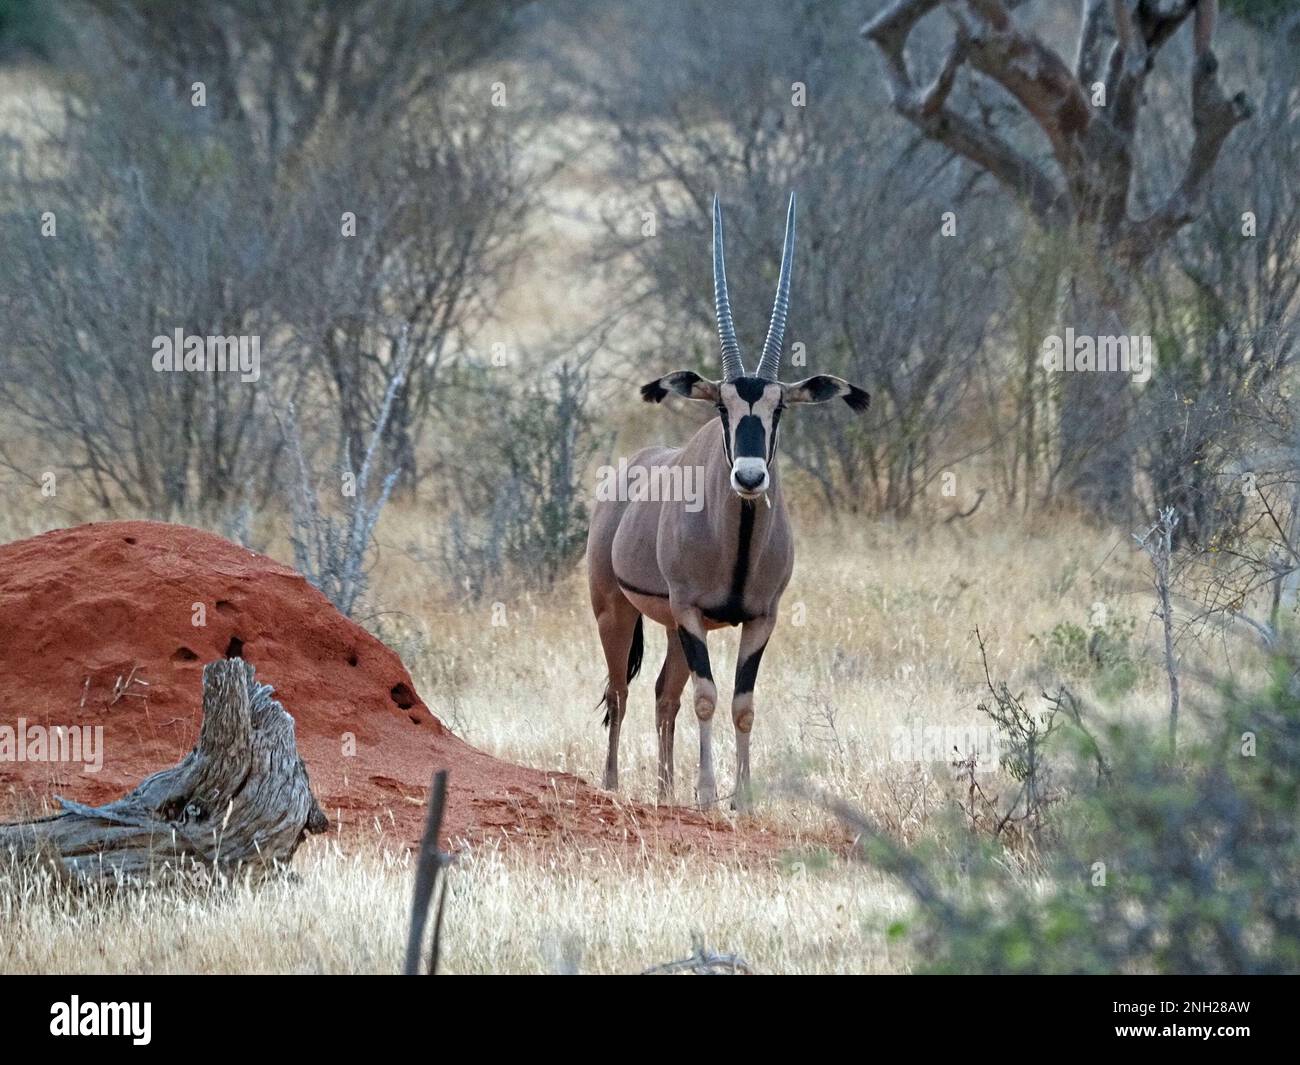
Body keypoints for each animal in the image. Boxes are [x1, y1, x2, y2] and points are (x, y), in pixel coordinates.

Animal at [587, 193, 870, 809]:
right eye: (722, 408)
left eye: (779, 409)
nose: (749, 476)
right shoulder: (692, 612)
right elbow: (707, 698)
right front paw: (709, 792)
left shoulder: (761, 618)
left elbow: (741, 705)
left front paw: (742, 796)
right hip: (616, 610)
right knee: (620, 693)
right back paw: (614, 785)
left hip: (669, 625)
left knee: (661, 695)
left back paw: (665, 790)